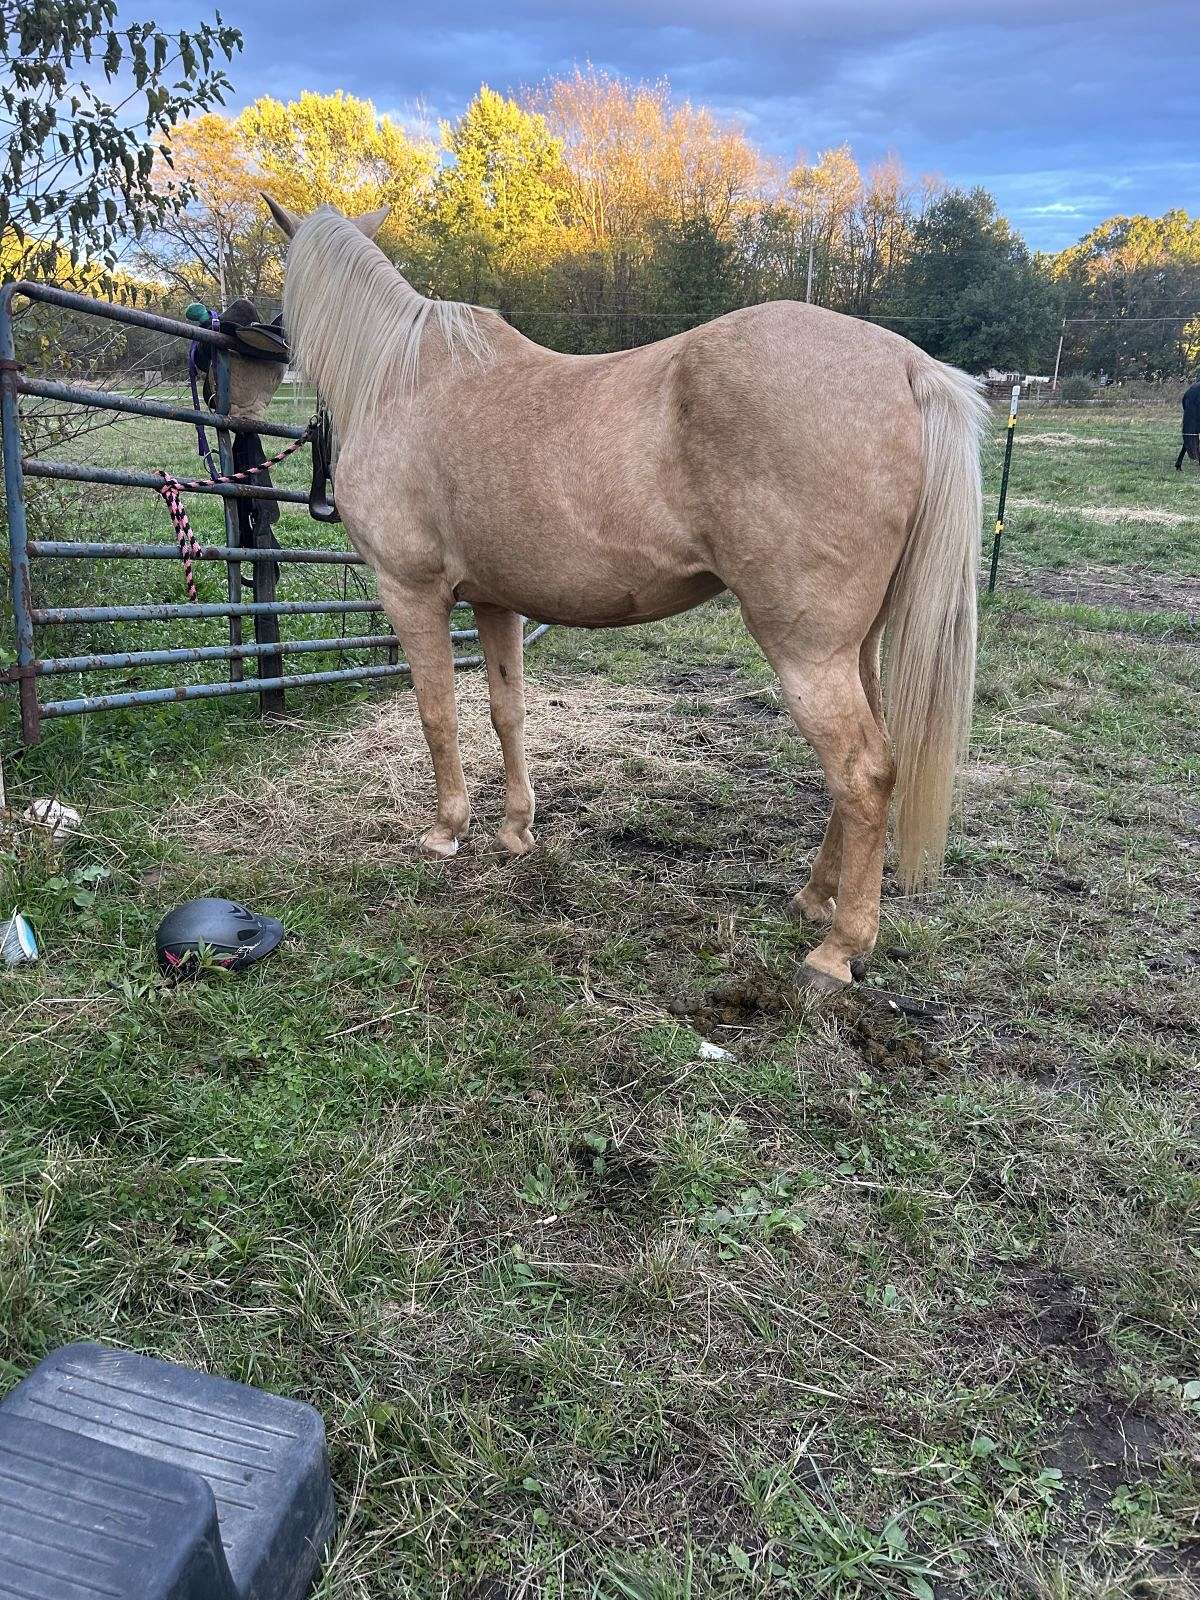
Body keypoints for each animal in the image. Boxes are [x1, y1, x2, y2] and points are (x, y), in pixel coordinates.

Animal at [263, 197, 987, 991]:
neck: (401, 378)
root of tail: (908, 365)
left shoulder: (411, 592)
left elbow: (437, 715)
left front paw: (446, 831)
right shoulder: (494, 600)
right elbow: (506, 712)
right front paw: (515, 830)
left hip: (807, 650)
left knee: (862, 774)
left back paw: (837, 951)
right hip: (856, 646)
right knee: (868, 767)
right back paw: (813, 897)